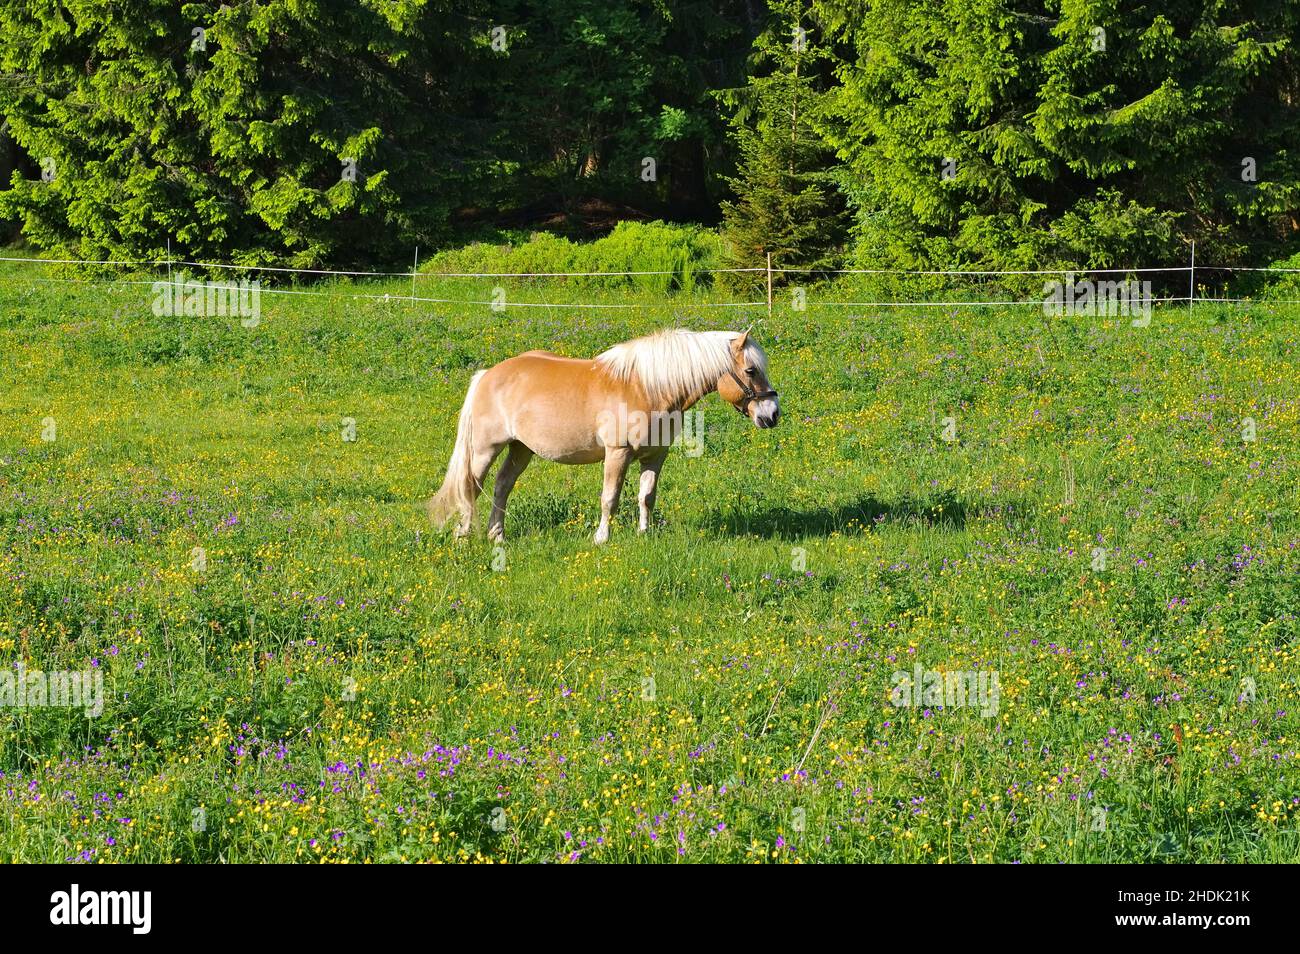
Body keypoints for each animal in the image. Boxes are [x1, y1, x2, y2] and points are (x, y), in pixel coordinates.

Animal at [427, 328, 780, 544]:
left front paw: (643, 534)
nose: (772, 413)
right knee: (471, 487)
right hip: (486, 448)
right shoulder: (617, 453)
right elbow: (609, 498)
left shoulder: (655, 456)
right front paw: (601, 538)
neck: (646, 387)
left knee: (502, 486)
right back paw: (463, 535)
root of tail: (487, 374)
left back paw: (497, 535)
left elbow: (646, 496)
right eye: (751, 371)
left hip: (520, 449)